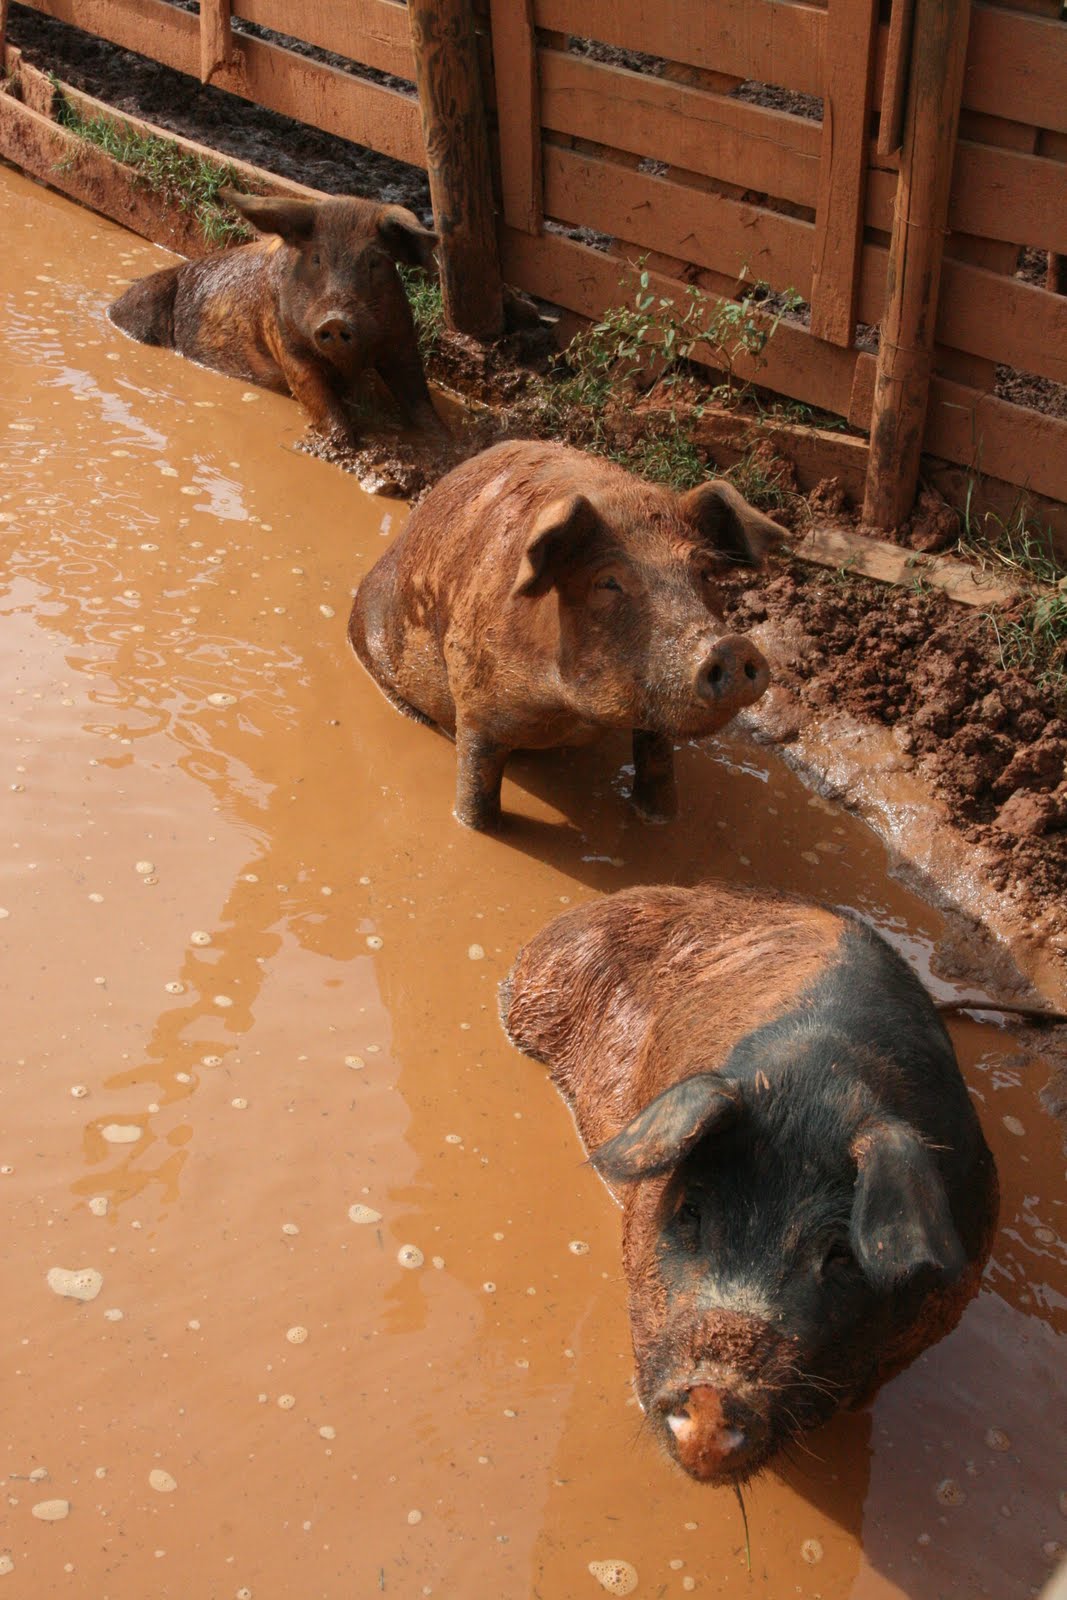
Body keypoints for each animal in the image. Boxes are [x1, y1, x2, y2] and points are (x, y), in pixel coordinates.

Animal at [108, 191, 441, 444]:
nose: (336, 319)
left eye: (374, 262)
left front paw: (442, 442)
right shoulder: (285, 342)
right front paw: (347, 444)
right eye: (316, 259)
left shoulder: (402, 338)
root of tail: (113, 305)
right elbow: (316, 396)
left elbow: (417, 393)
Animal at [348, 440, 778, 830]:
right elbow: (476, 789)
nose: (732, 646)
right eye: (607, 581)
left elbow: (657, 769)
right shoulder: (472, 698)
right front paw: (475, 828)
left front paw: (660, 821)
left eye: (703, 572)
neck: (567, 711)